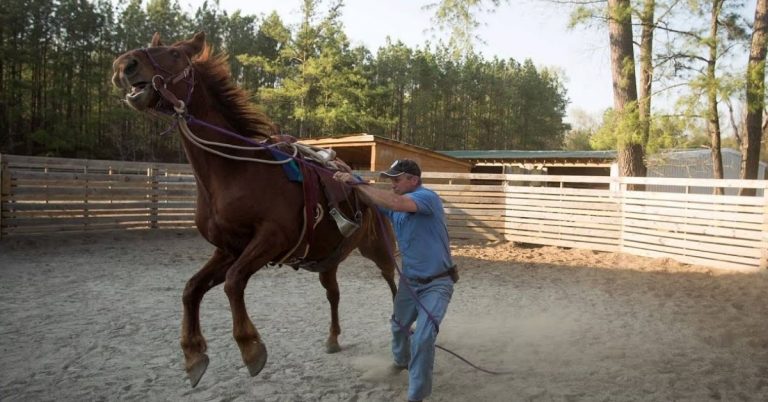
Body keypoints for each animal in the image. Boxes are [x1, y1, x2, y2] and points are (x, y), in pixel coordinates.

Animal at [111, 32, 398, 388]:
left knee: (396, 283)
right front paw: (193, 354)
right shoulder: (229, 249)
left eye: (175, 54)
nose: (125, 65)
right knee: (333, 293)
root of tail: (362, 183)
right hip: (329, 259)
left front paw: (250, 348)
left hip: (378, 248)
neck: (234, 170)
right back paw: (332, 338)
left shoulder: (271, 239)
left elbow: (234, 283)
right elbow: (191, 289)